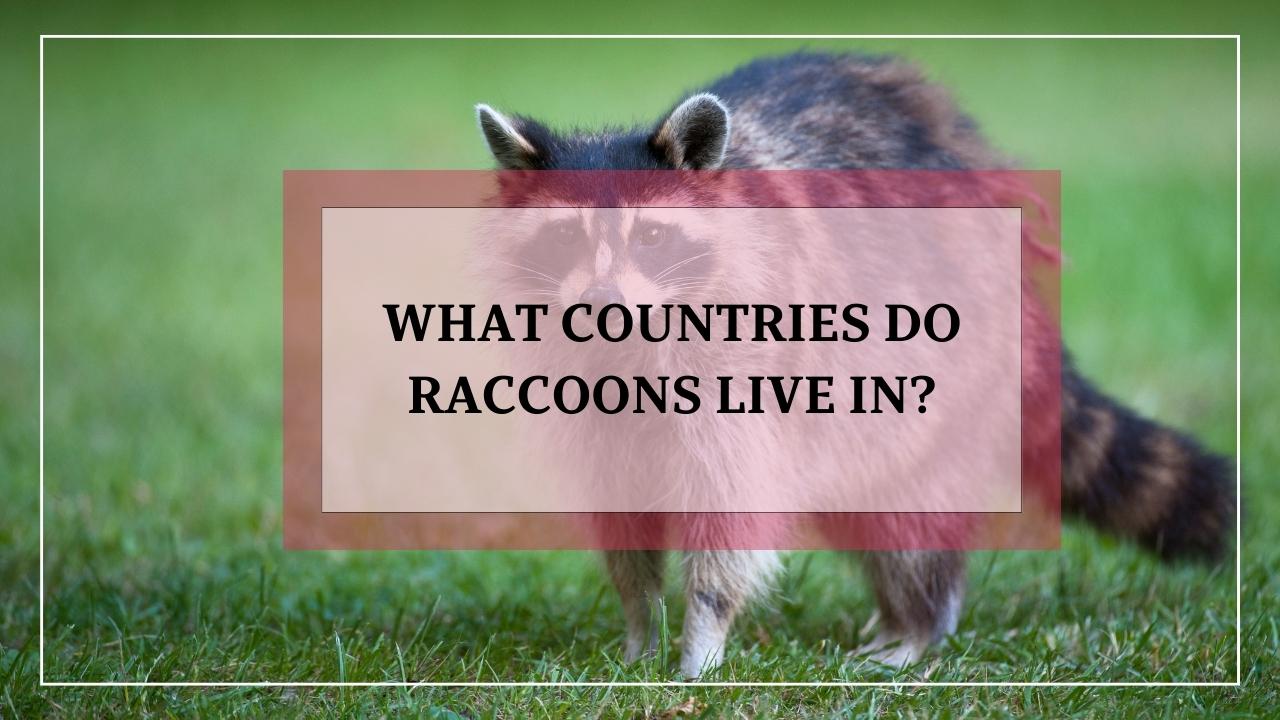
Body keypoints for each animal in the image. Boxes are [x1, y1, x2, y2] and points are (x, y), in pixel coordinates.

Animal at [473, 52, 1233, 678]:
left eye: (652, 237)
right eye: (565, 239)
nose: (603, 305)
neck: (629, 345)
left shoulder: (740, 371)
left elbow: (732, 508)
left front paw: (702, 634)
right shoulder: (587, 397)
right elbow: (620, 513)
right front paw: (641, 625)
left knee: (907, 508)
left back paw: (919, 623)